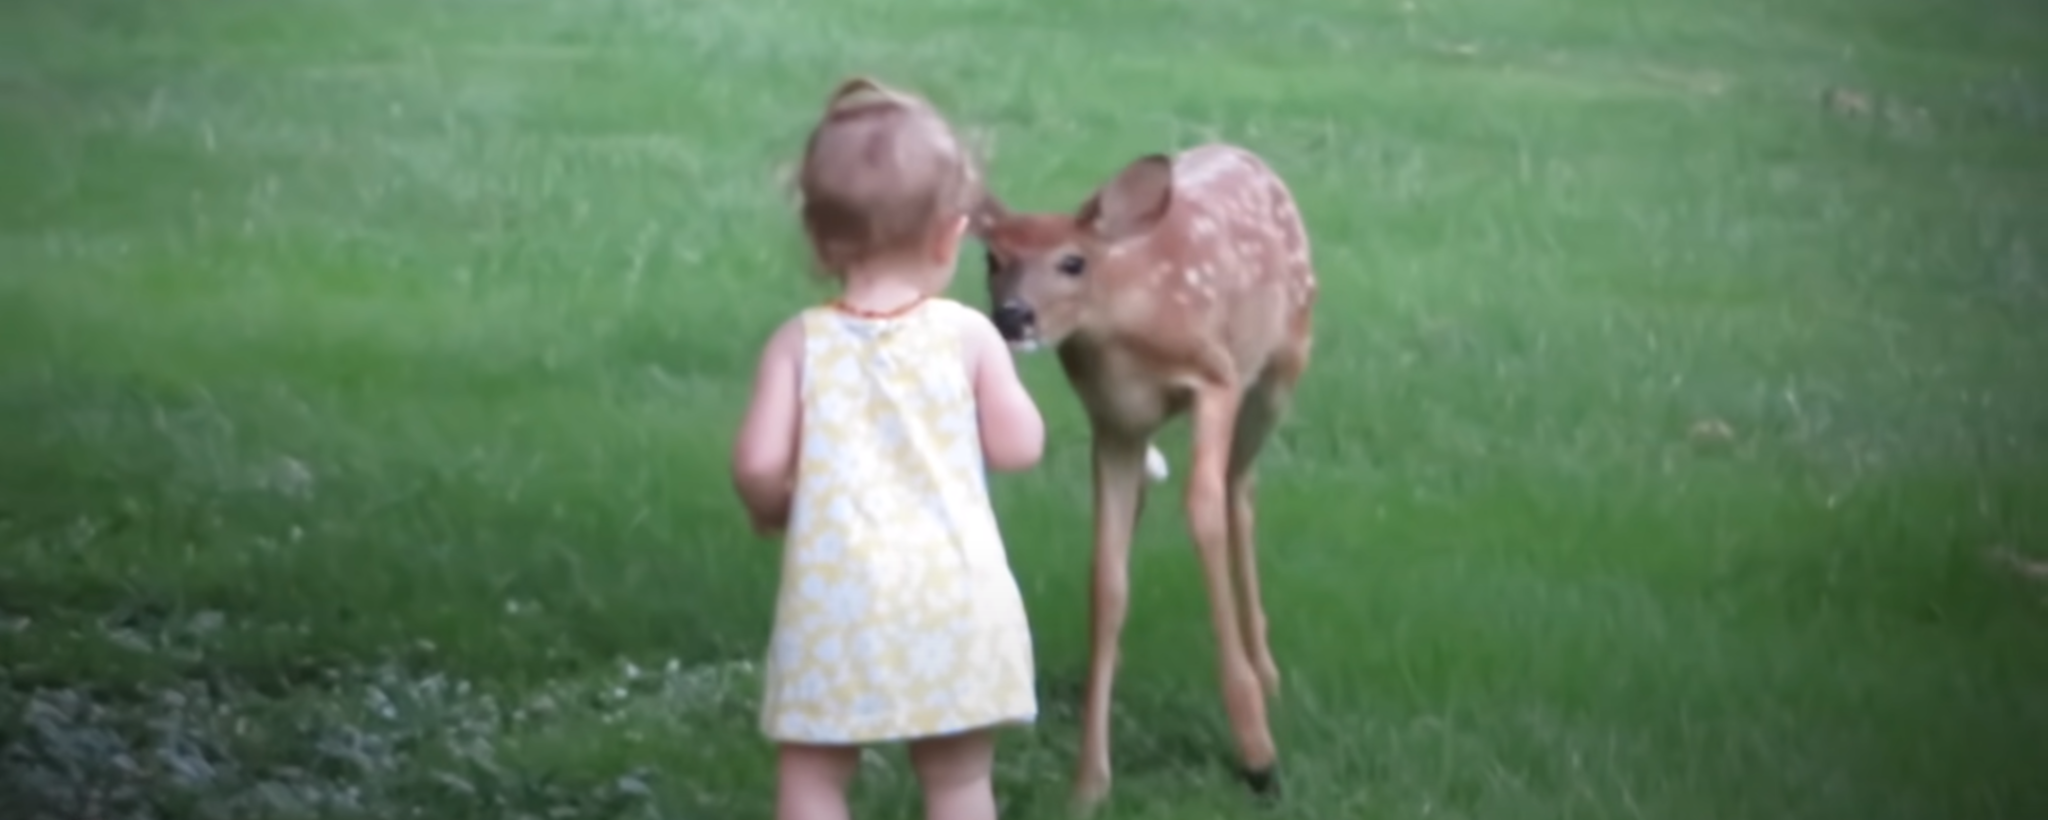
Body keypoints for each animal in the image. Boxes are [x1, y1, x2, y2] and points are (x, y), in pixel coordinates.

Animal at [967, 142, 1317, 814]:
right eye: (993, 258)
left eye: (1072, 261)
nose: (1013, 316)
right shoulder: (1114, 424)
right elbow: (1107, 576)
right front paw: (1088, 780)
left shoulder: (1217, 378)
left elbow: (1202, 511)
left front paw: (1257, 752)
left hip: (1282, 365)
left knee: (1239, 490)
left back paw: (1266, 674)